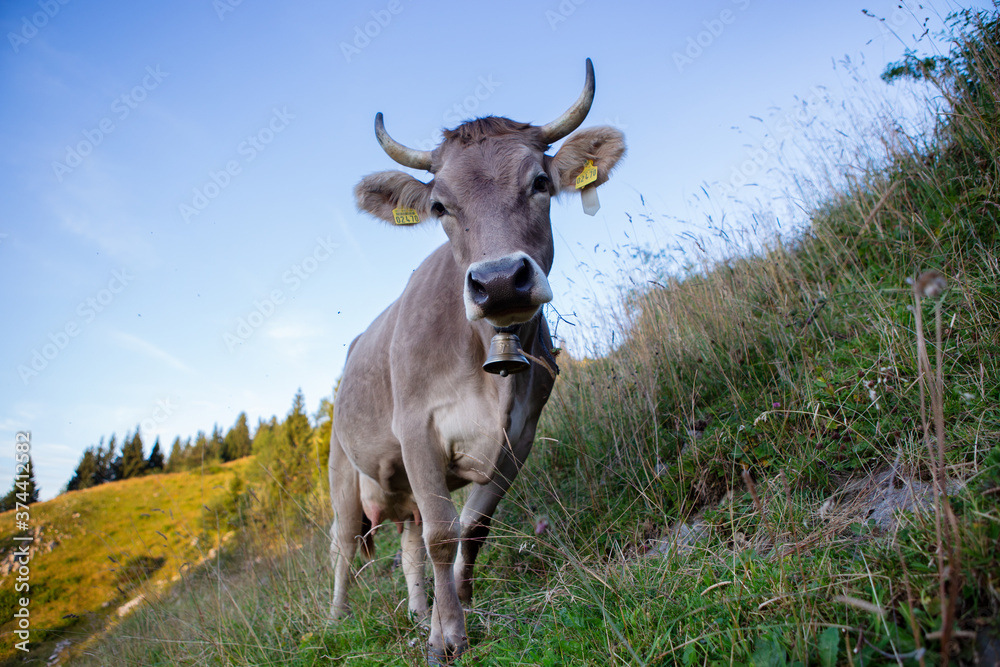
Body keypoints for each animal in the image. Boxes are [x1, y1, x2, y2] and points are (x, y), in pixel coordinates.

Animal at [329, 59, 625, 663]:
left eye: (540, 183)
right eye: (440, 207)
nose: (499, 280)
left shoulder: (520, 434)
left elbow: (473, 527)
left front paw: (456, 607)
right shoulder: (416, 428)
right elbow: (444, 534)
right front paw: (447, 638)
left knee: (408, 541)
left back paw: (418, 609)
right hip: (342, 473)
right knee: (344, 548)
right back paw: (336, 621)